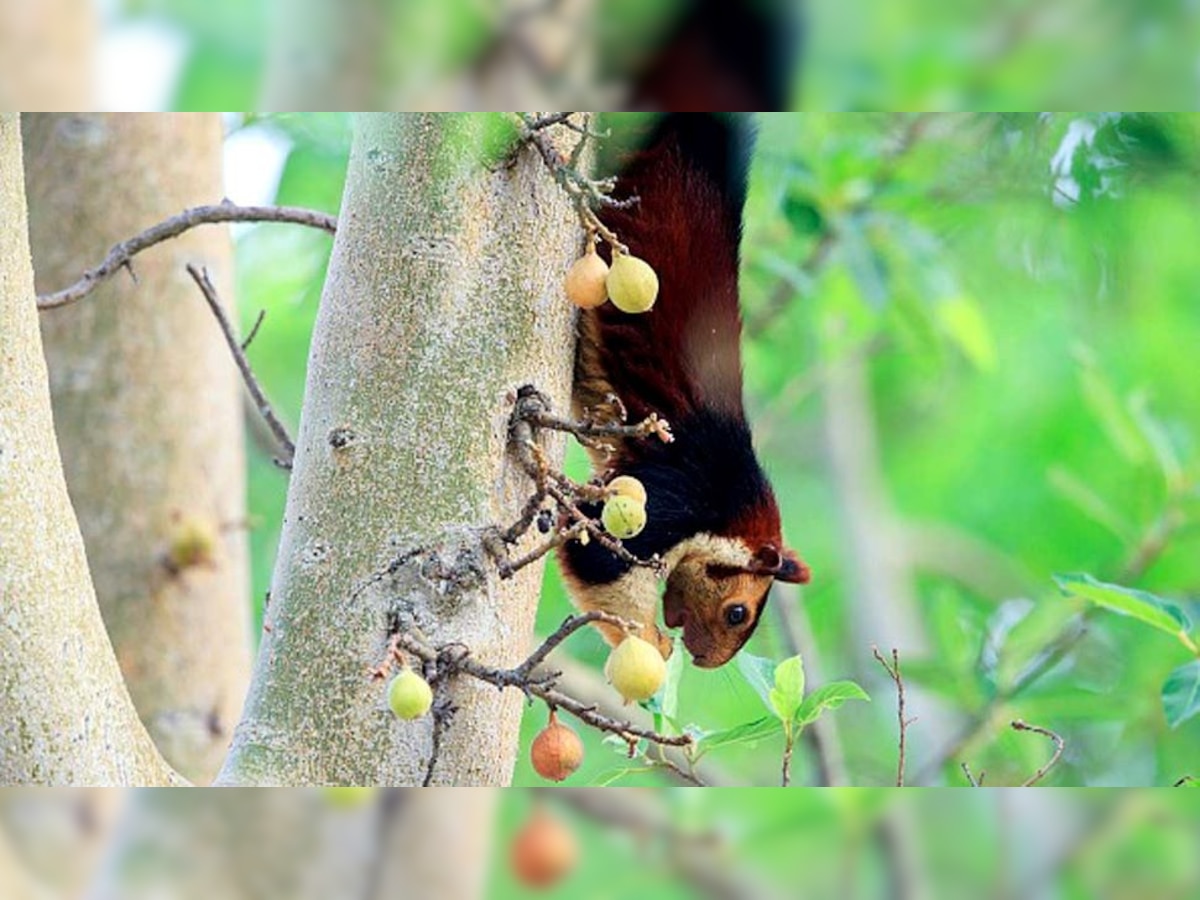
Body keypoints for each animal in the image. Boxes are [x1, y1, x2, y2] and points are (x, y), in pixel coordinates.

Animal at [556, 113, 810, 669]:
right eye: (737, 612)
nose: (706, 662)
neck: (732, 502)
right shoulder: (676, 494)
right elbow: (596, 555)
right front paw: (650, 641)